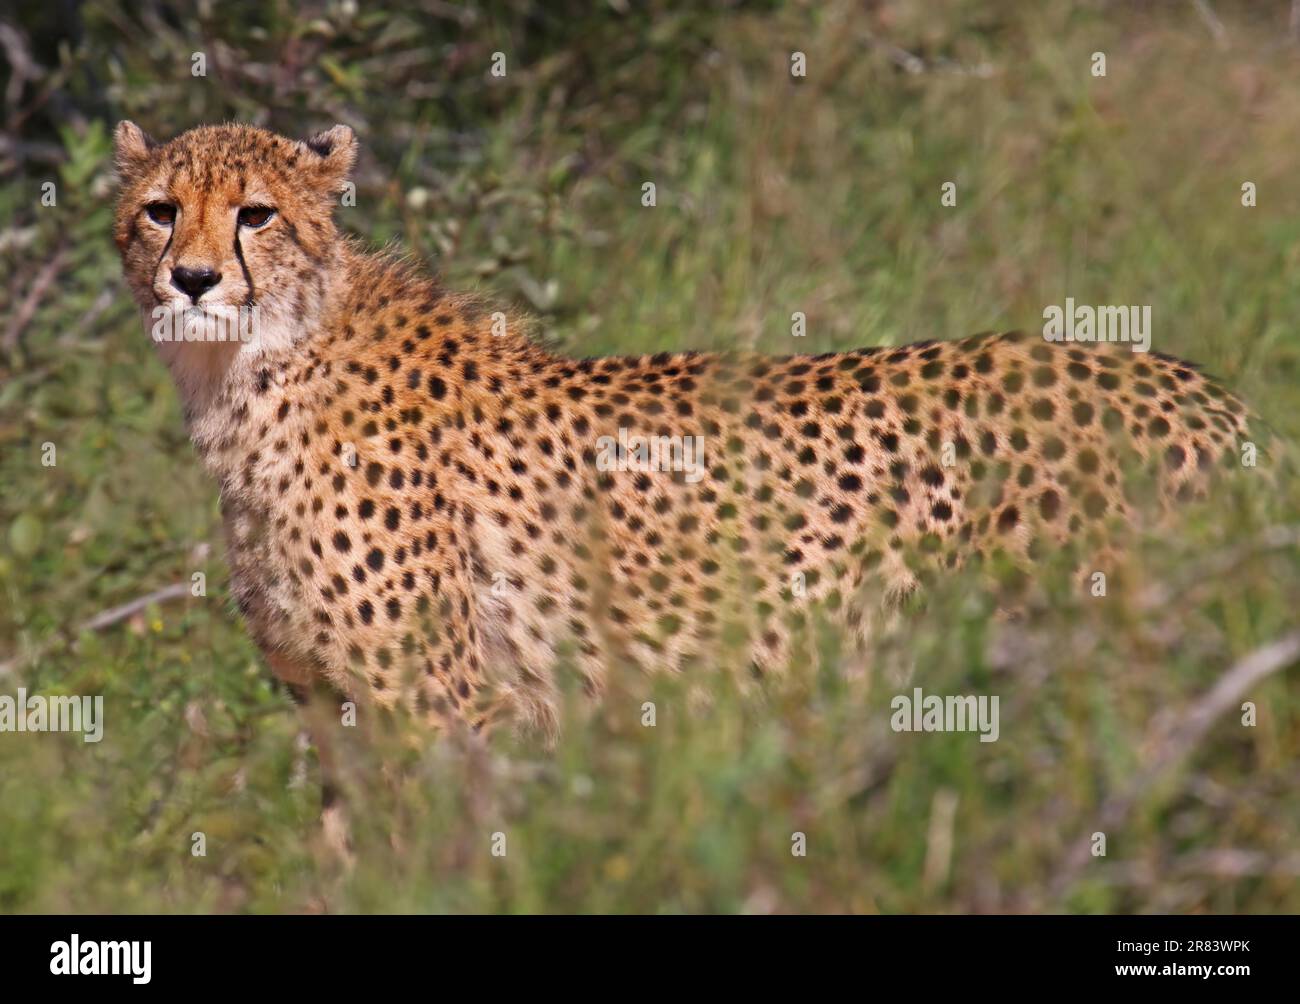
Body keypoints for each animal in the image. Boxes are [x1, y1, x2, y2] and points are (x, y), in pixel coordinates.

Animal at [112, 120, 1260, 804]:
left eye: (257, 212)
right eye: (161, 209)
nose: (193, 278)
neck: (249, 373)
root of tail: (1205, 391)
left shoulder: (451, 713)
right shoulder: (339, 720)